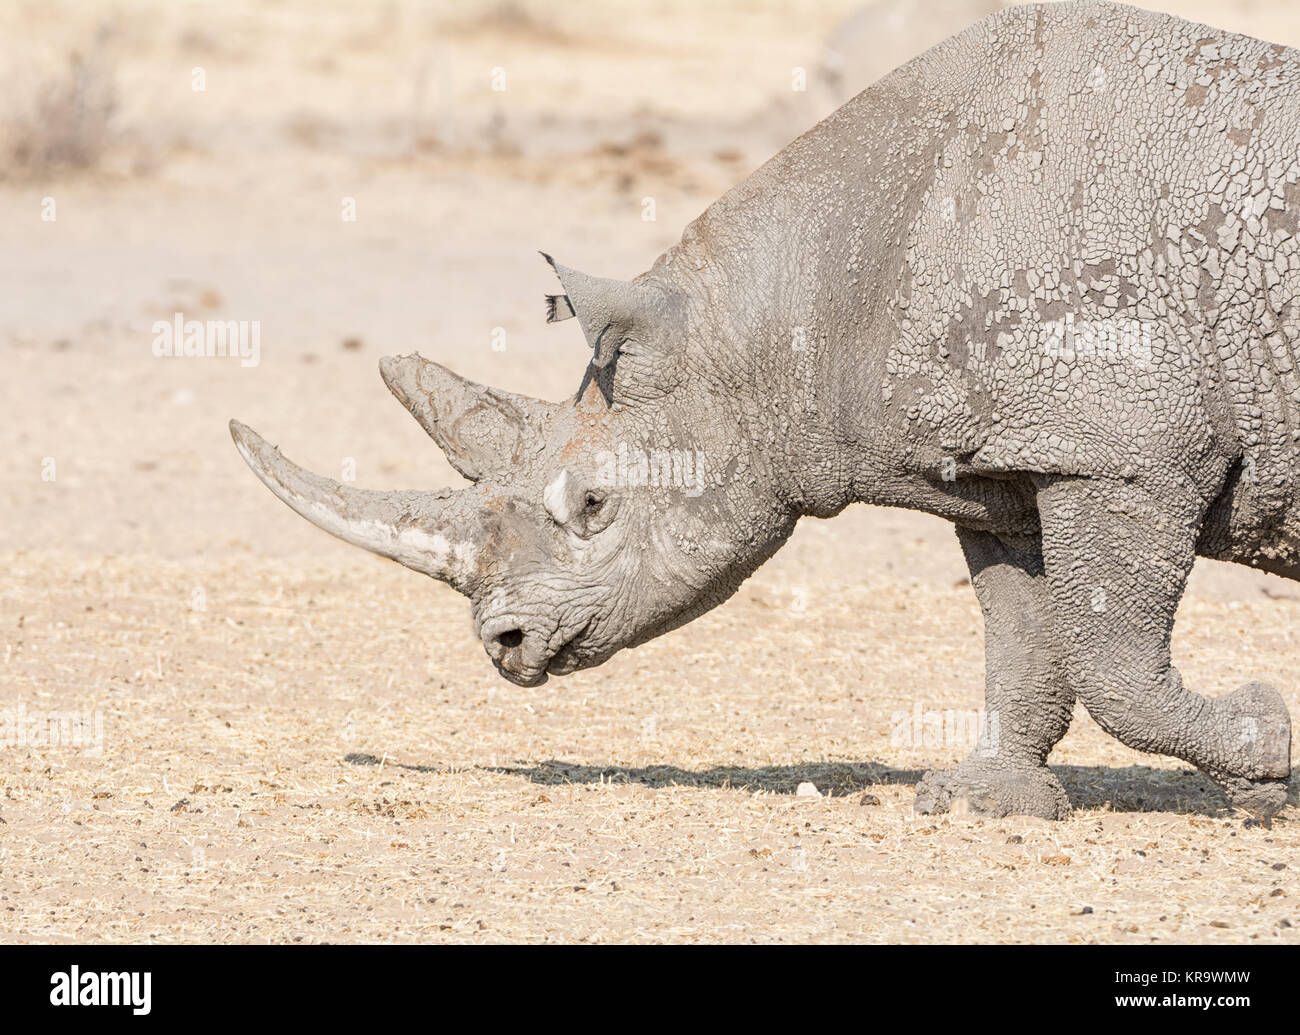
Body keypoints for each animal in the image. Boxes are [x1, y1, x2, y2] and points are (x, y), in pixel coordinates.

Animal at [233, 0, 1298, 820]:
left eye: (593, 507)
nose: (504, 647)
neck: (790, 311)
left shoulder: (1120, 453)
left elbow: (1112, 660)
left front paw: (1264, 759)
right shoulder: (1009, 461)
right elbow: (1027, 634)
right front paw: (984, 802)